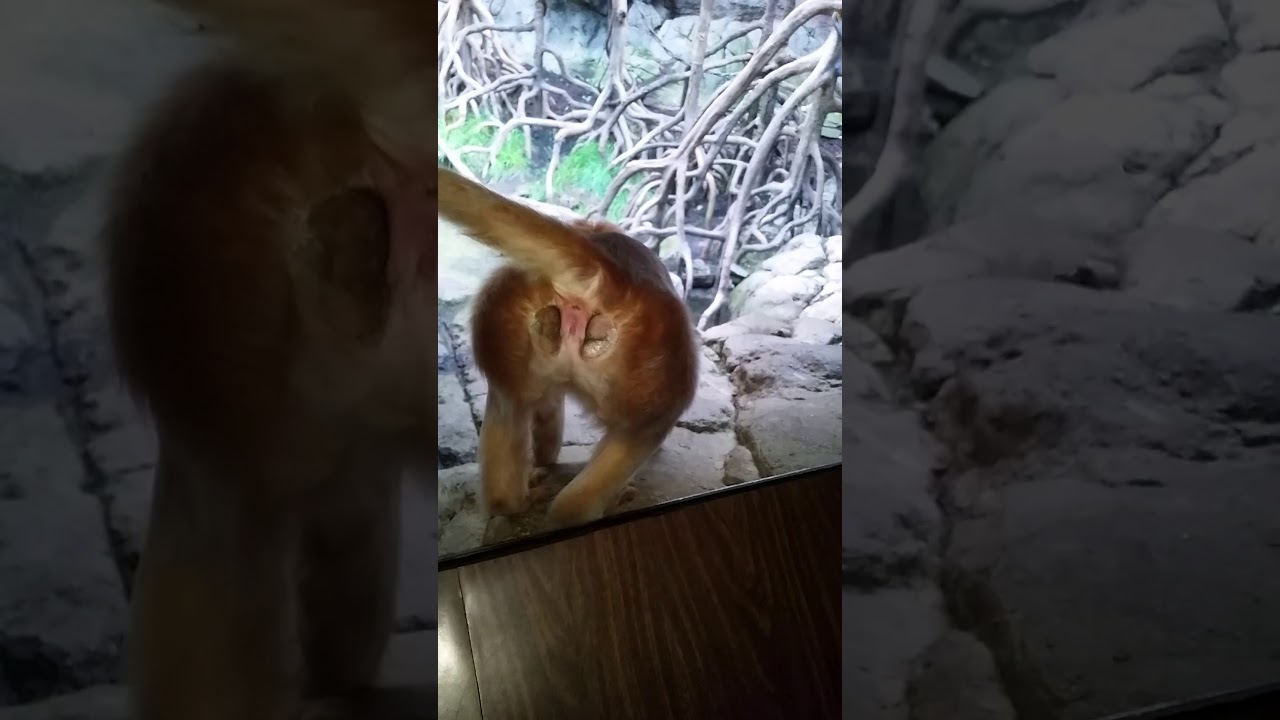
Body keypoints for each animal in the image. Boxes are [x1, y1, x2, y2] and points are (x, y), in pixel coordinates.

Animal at [437, 168, 700, 528]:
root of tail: (606, 273)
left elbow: (545, 411)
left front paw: (543, 465)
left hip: (506, 313)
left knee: (510, 403)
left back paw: (512, 502)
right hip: (657, 357)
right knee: (640, 433)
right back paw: (591, 504)